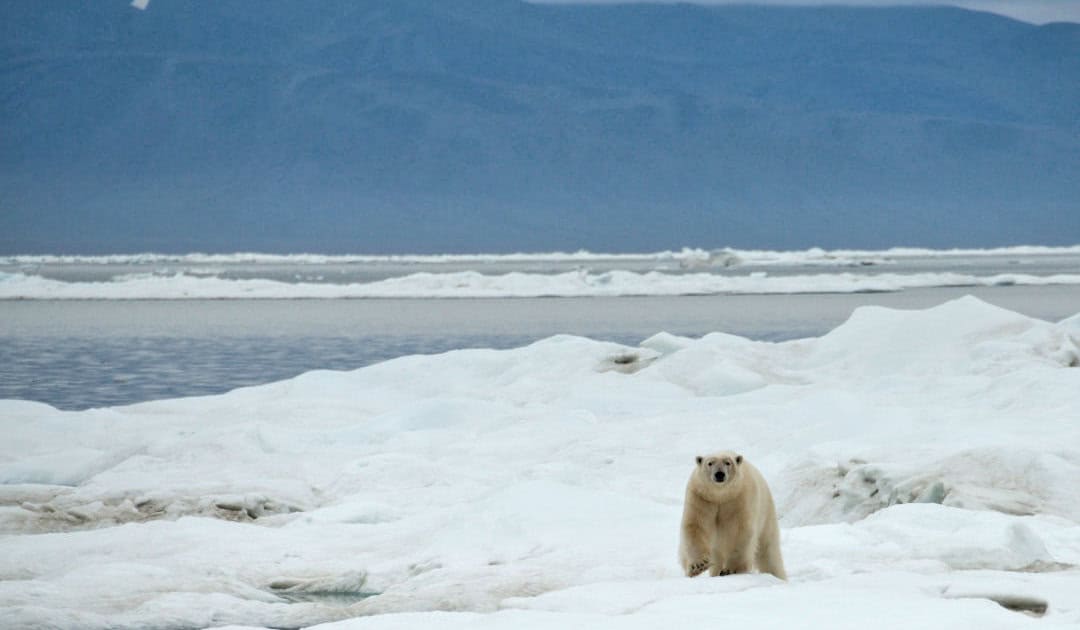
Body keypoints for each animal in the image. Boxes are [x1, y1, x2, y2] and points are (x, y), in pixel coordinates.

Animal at [679, 450, 786, 580]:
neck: (720, 495)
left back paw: (777, 575)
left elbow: (739, 530)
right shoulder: (701, 498)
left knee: (768, 550)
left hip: (765, 514)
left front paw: (729, 570)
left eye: (727, 462)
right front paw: (698, 566)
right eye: (710, 463)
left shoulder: (738, 499)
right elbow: (696, 526)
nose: (719, 474)